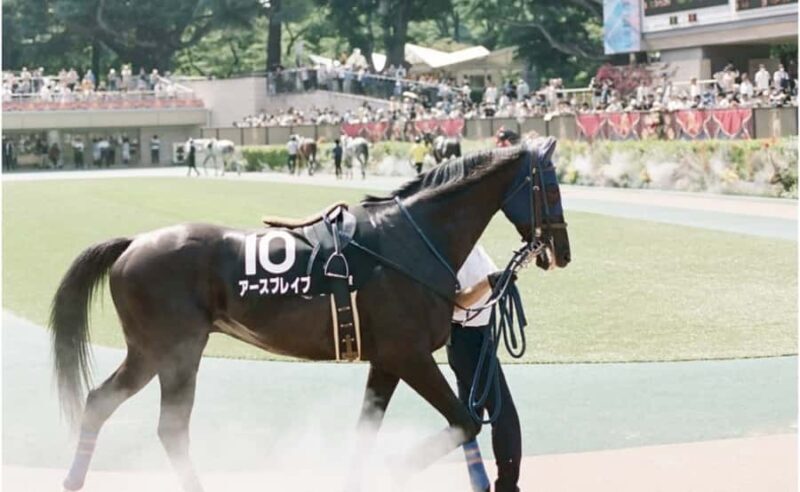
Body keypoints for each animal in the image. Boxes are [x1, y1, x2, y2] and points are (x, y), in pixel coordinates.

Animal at [50, 138, 570, 492]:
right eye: (551, 187)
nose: (562, 252)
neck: (410, 239)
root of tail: (133, 243)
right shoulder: (410, 356)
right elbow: (464, 421)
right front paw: (397, 468)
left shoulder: (387, 360)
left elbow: (367, 430)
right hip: (174, 352)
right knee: (170, 428)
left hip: (149, 353)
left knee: (100, 403)